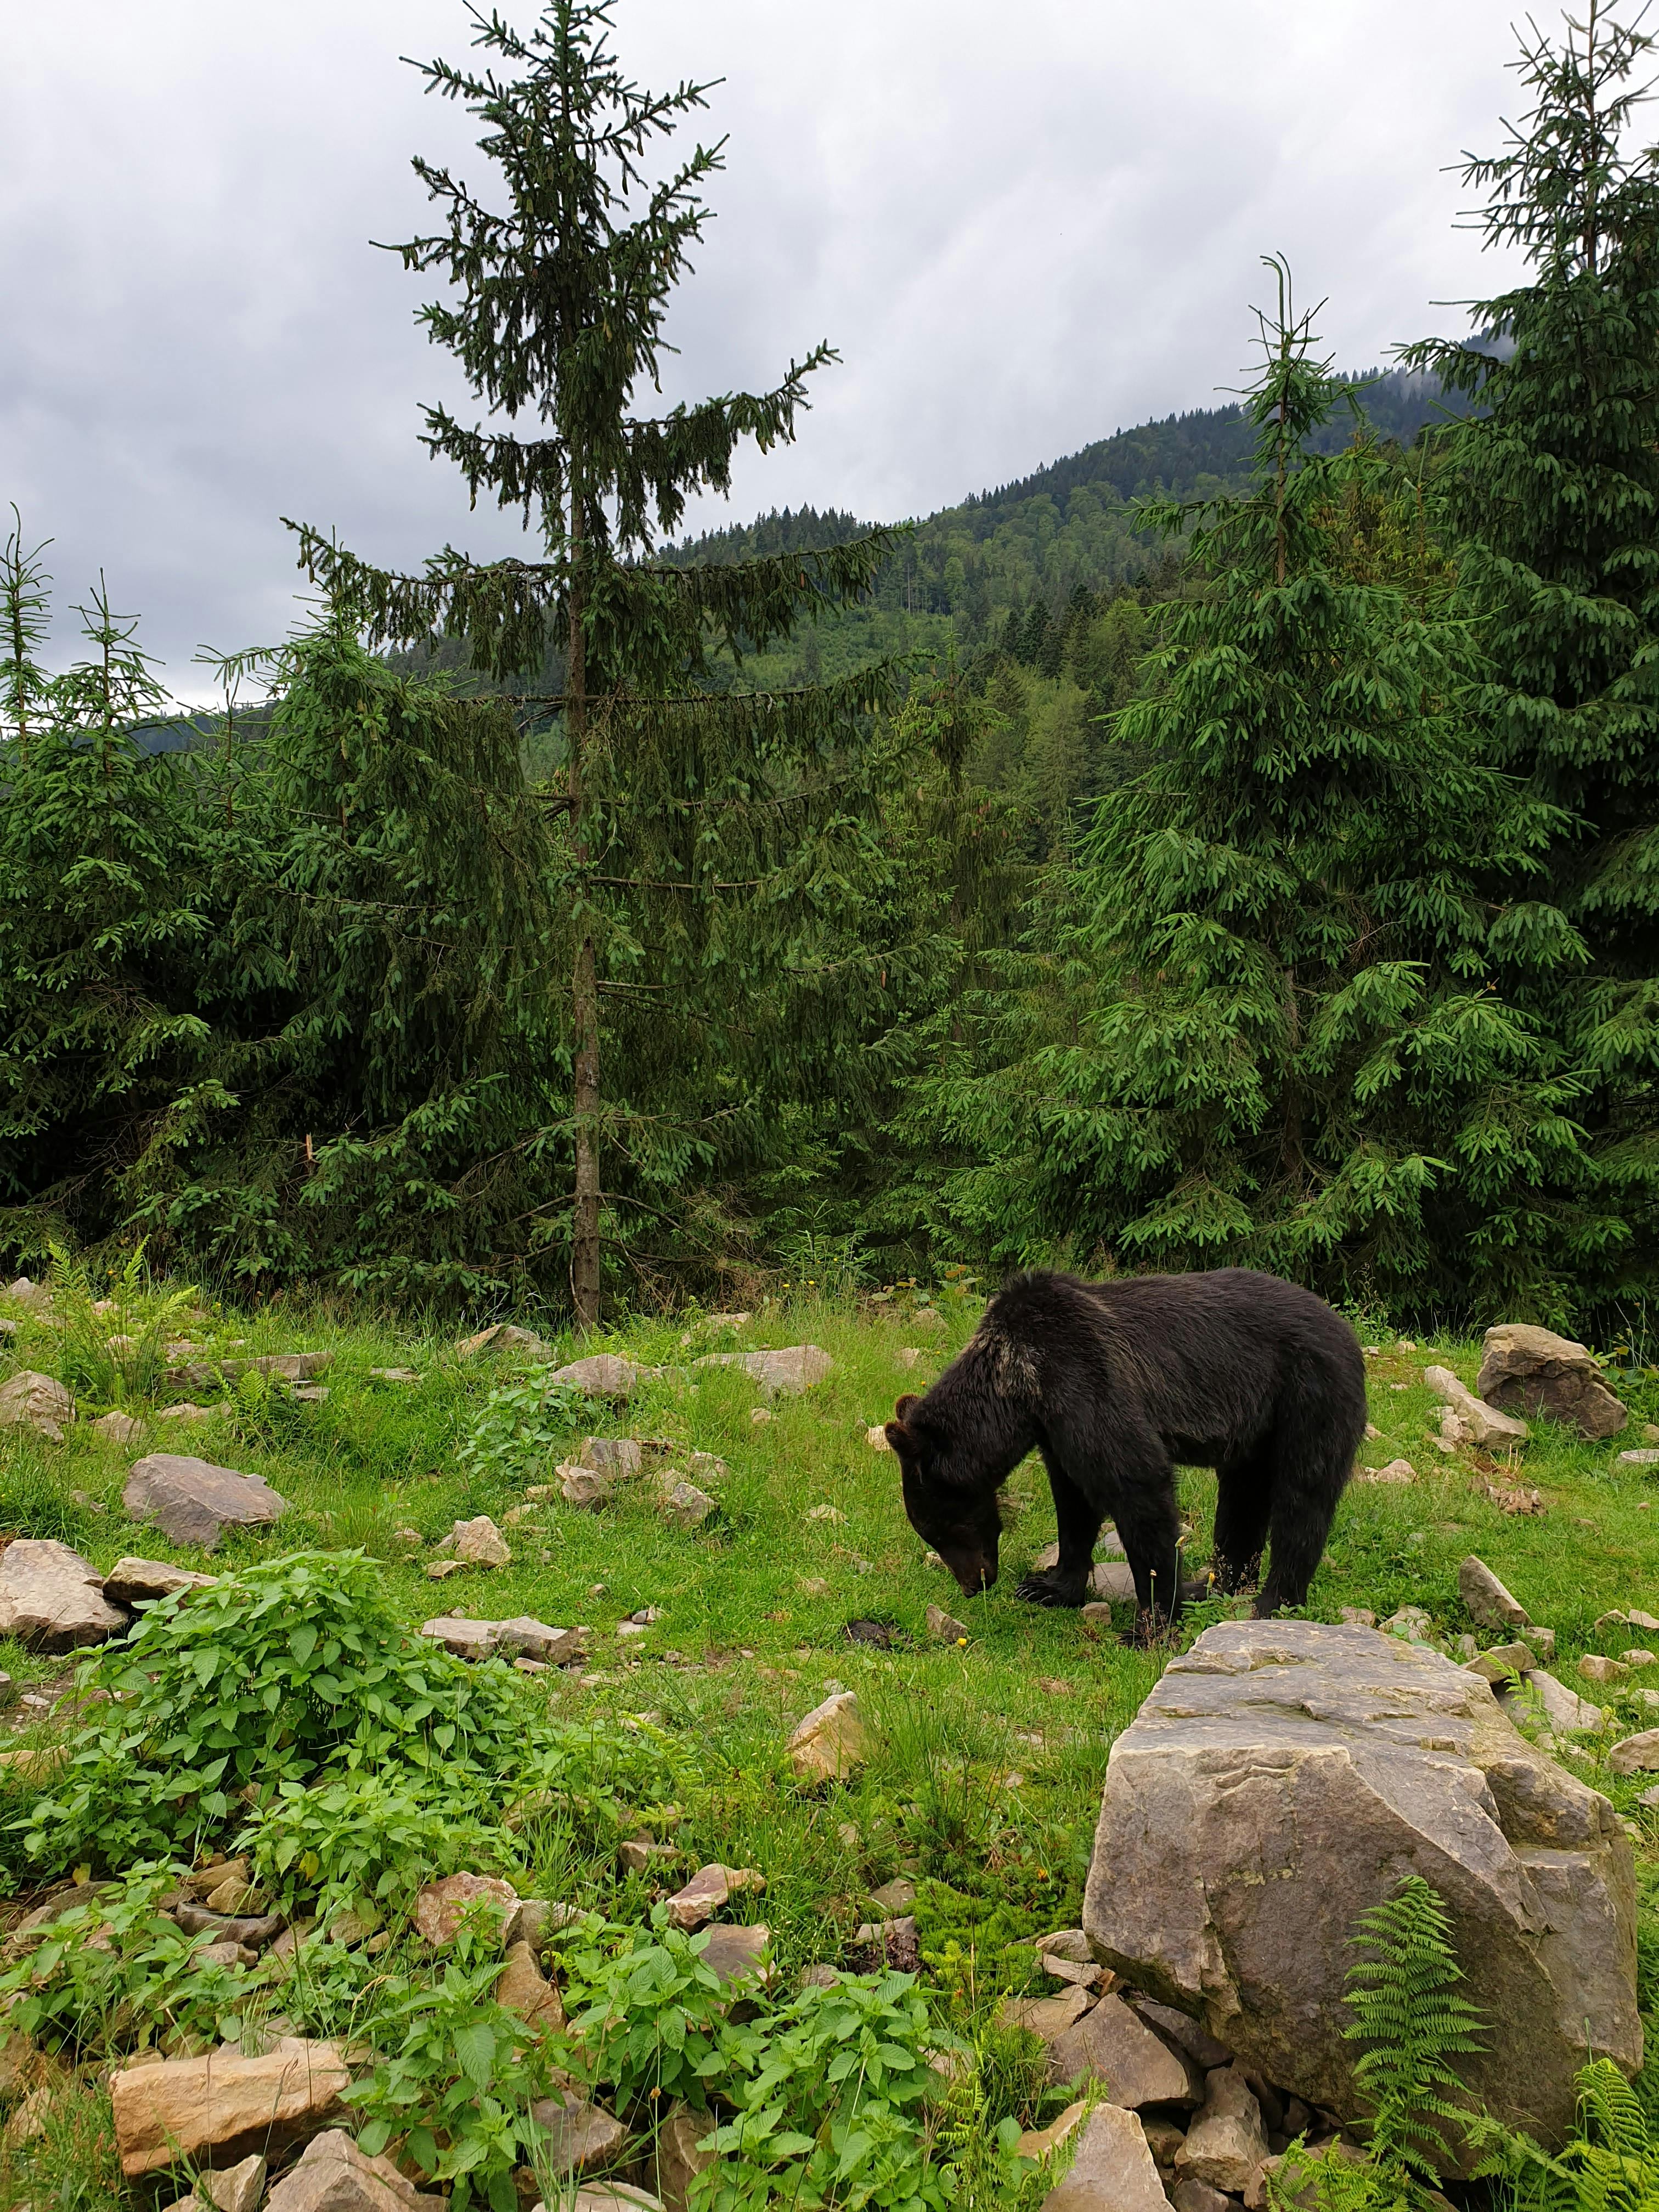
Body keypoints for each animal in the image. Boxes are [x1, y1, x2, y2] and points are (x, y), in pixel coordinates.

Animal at [884, 1266, 1366, 1635]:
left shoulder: (1083, 1379)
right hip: (1257, 1427)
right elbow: (1074, 1502)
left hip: (1310, 1396)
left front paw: (1150, 1622)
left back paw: (1273, 1603)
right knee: (1243, 1497)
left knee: (1303, 1498)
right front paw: (1048, 1586)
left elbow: (1136, 1480)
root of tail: (1344, 1328)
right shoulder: (1055, 1430)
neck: (1018, 1390)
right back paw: (1213, 1585)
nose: (974, 1584)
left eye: (940, 1530)